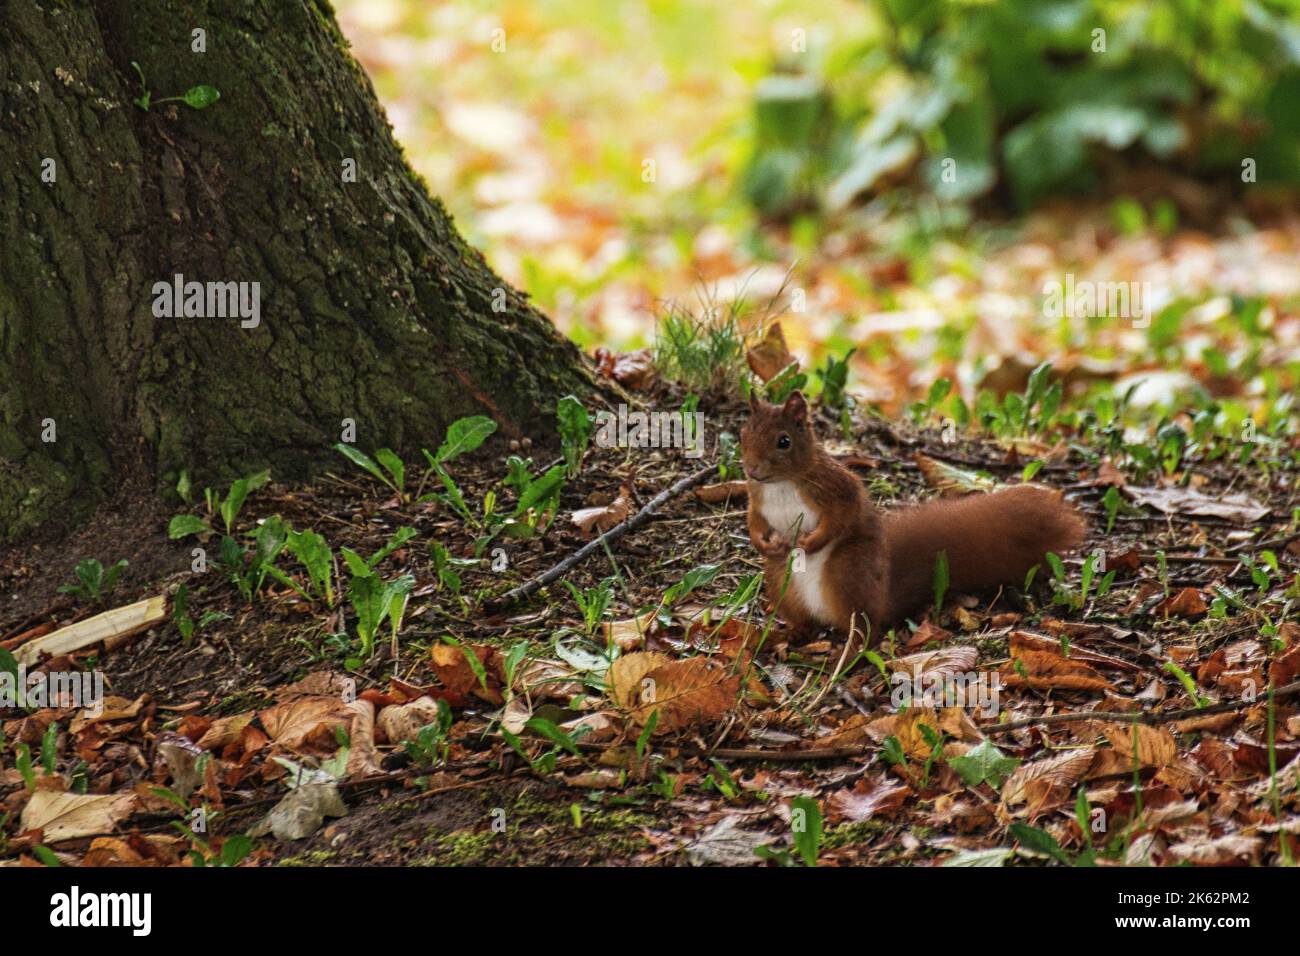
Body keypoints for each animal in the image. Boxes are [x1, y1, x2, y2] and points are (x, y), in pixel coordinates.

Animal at [741, 389, 1086, 640]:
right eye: (745, 433)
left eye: (783, 441)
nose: (751, 468)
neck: (780, 483)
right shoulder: (756, 499)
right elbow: (754, 521)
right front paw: (764, 543)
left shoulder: (836, 488)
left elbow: (840, 517)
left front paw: (810, 542)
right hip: (781, 582)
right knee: (808, 624)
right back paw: (783, 636)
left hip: (850, 571)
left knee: (866, 630)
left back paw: (849, 651)